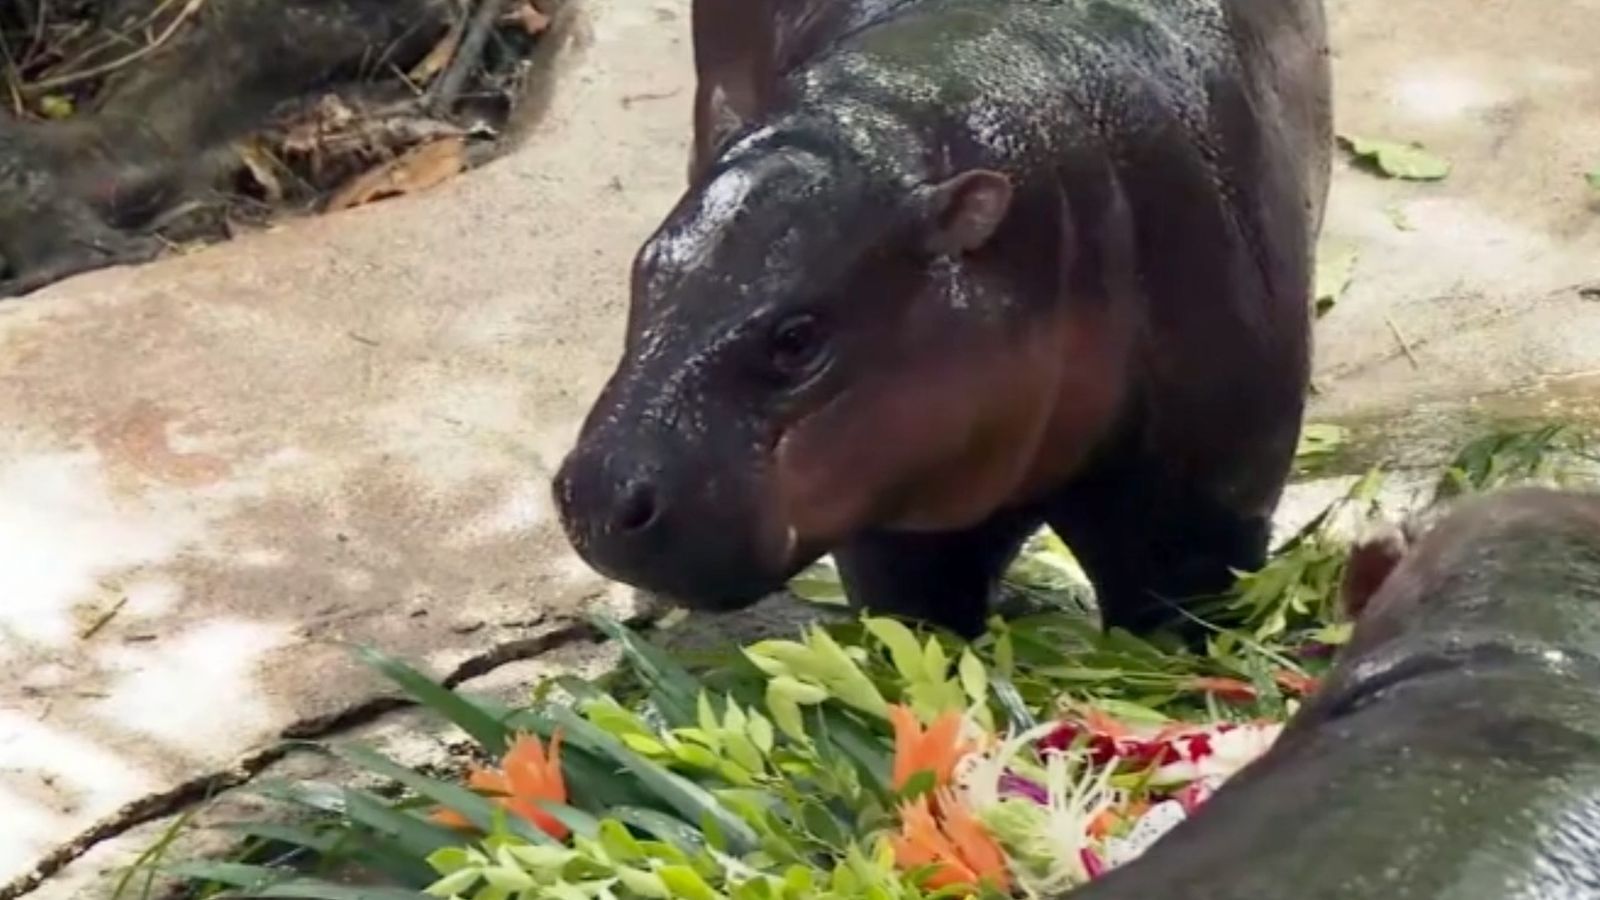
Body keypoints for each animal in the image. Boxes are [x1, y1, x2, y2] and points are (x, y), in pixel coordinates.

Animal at [554, 0, 1334, 638]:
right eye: (645, 268)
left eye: (797, 339)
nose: (597, 495)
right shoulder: (894, 498)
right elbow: (915, 611)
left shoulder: (1202, 495)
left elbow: (1176, 605)